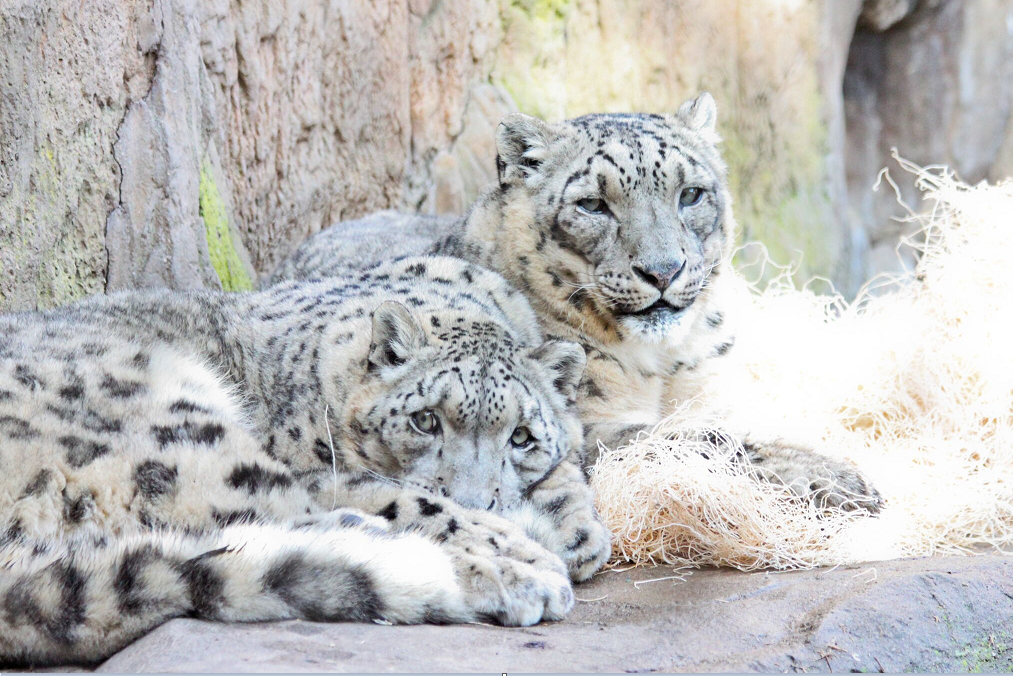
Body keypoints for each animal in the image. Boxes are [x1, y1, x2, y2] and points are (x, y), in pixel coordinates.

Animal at [0, 255, 610, 667]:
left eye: (522, 437)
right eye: (425, 421)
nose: (475, 496)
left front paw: (576, 526)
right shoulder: (324, 472)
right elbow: (412, 498)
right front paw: (526, 544)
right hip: (175, 428)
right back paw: (514, 576)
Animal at [267, 93, 884, 514]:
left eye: (691, 194)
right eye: (592, 204)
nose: (664, 270)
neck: (664, 366)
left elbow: (720, 425)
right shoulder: (589, 427)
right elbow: (699, 438)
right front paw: (835, 476)